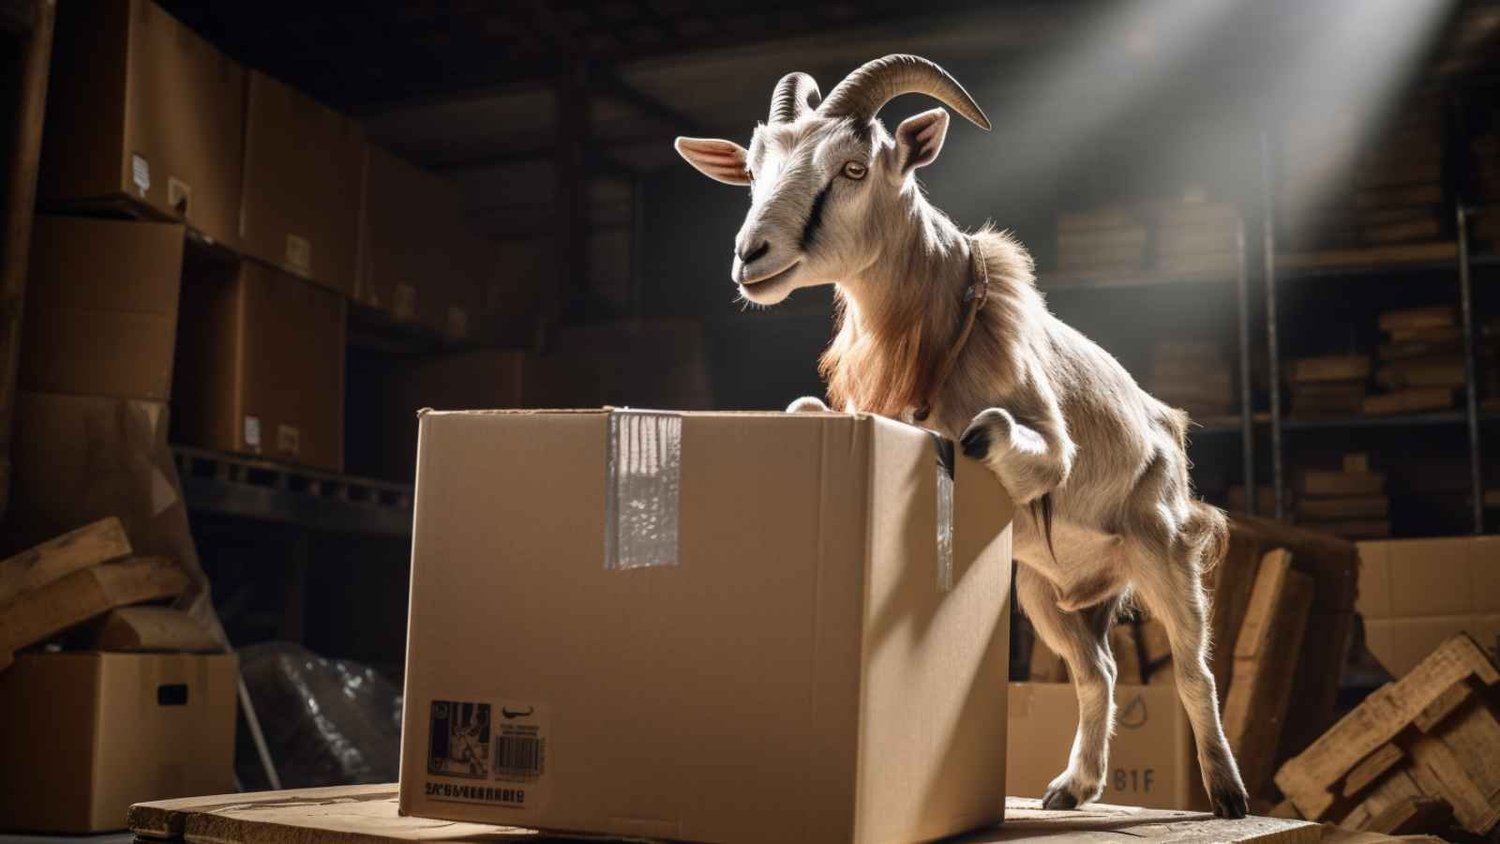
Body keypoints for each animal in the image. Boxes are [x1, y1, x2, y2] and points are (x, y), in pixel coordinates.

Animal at [675, 55, 1249, 819]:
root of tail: (1165, 423)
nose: (751, 255)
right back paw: (1073, 788)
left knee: (1193, 670)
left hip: (1163, 551)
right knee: (1097, 670)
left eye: (853, 167)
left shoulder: (1051, 448)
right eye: (753, 167)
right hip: (1042, 591)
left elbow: (989, 431)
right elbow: (801, 408)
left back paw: (1228, 795)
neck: (940, 331)